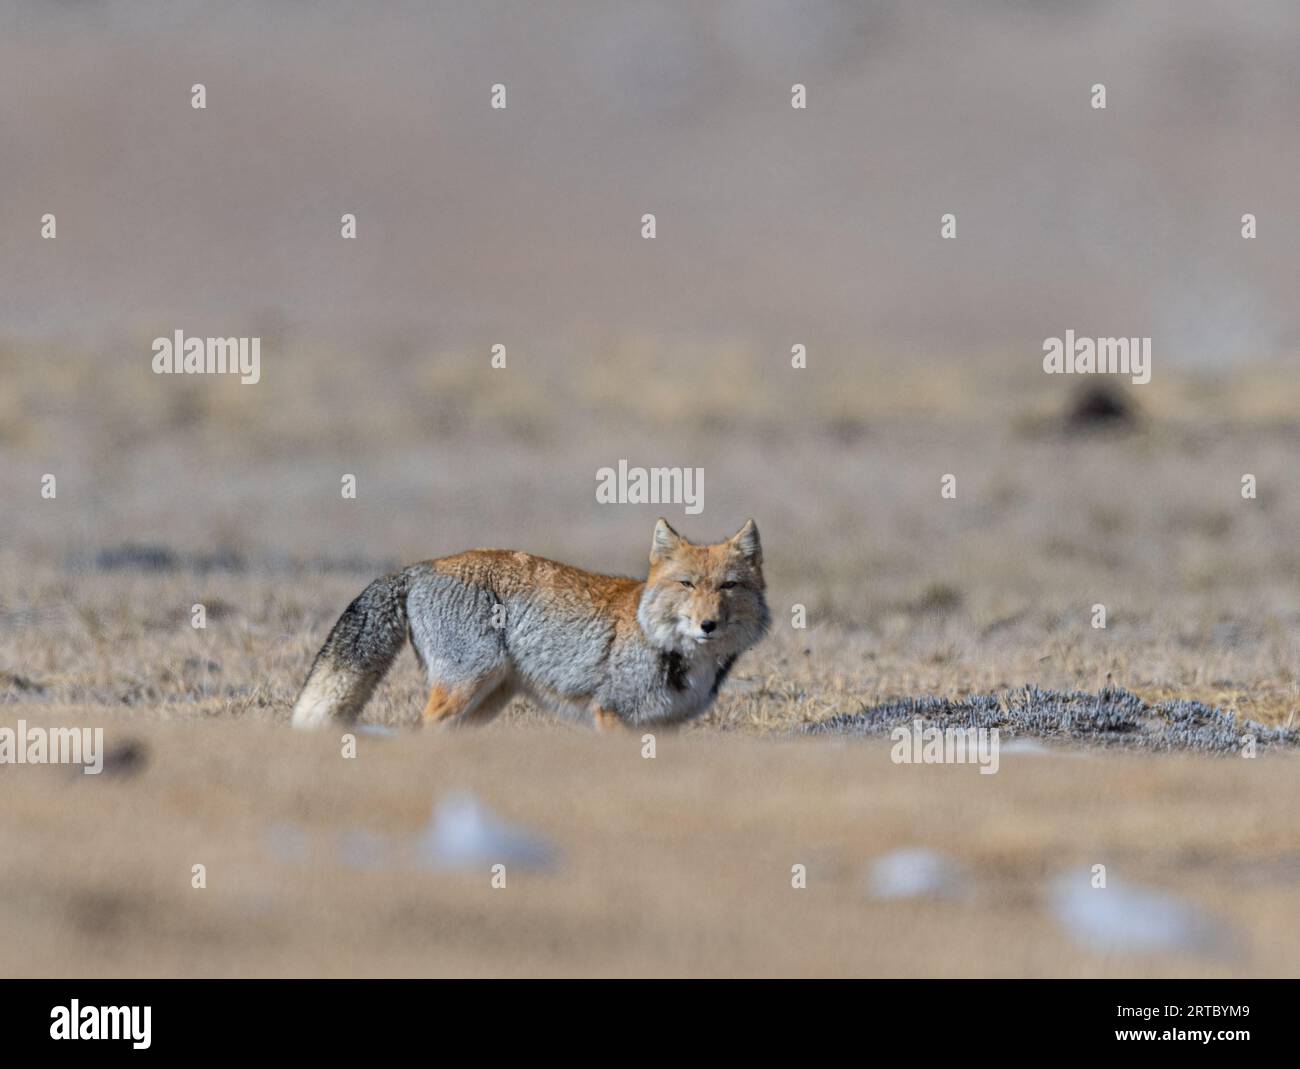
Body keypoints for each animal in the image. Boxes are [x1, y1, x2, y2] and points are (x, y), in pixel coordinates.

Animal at [291, 518, 769, 731]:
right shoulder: (612, 714)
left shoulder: (663, 728)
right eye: (687, 584)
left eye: (728, 586)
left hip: (486, 702)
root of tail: (422, 566)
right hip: (466, 687)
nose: (707, 624)